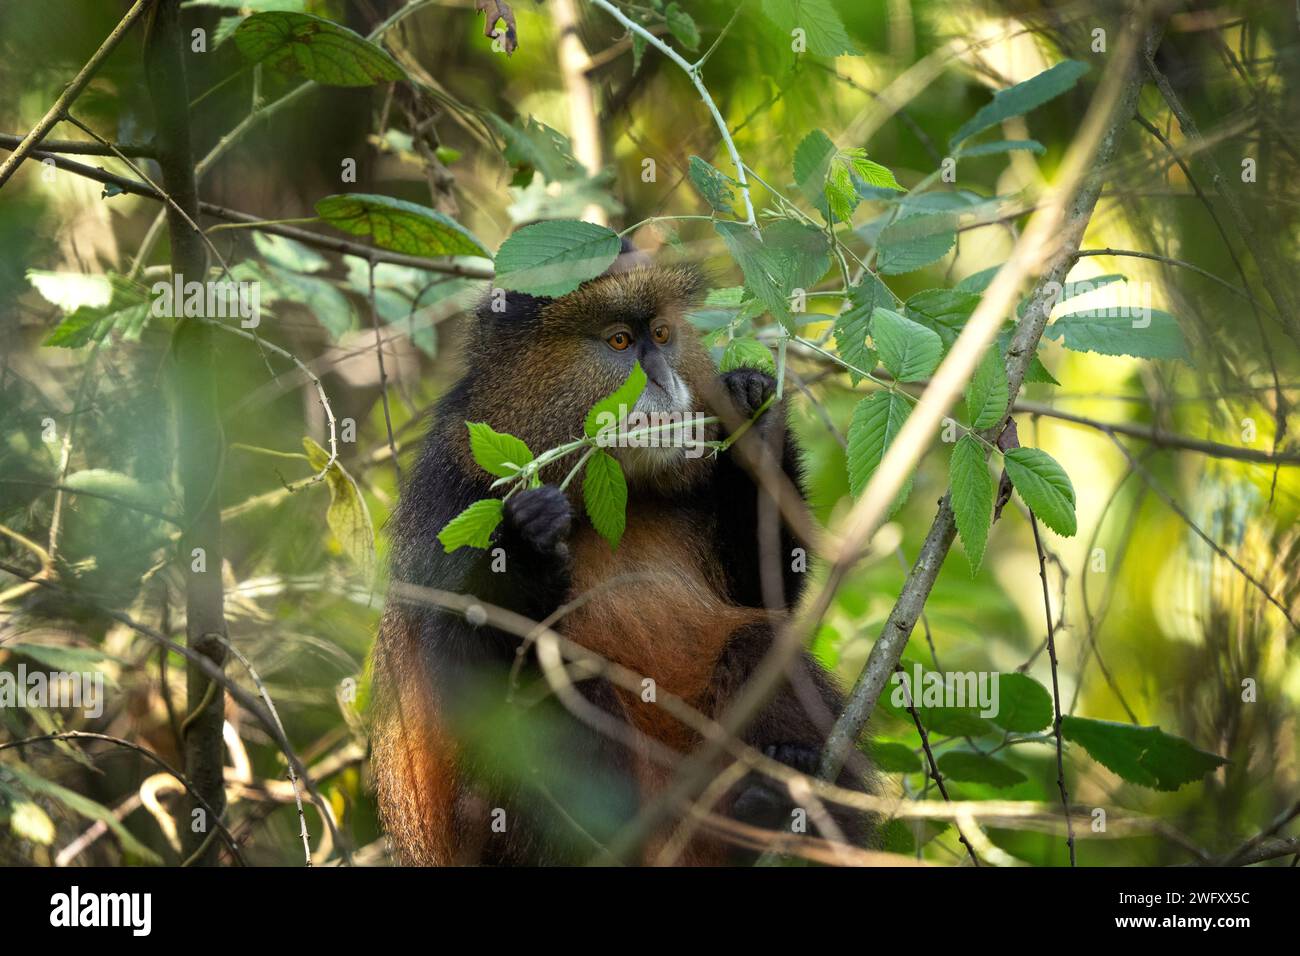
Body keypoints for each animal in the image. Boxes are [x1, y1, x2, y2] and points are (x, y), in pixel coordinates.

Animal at [370, 255, 874, 866]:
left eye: (659, 335)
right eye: (619, 341)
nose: (661, 378)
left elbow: (762, 594)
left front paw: (750, 408)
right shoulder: (452, 500)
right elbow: (458, 677)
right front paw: (528, 542)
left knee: (756, 640)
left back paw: (778, 803)